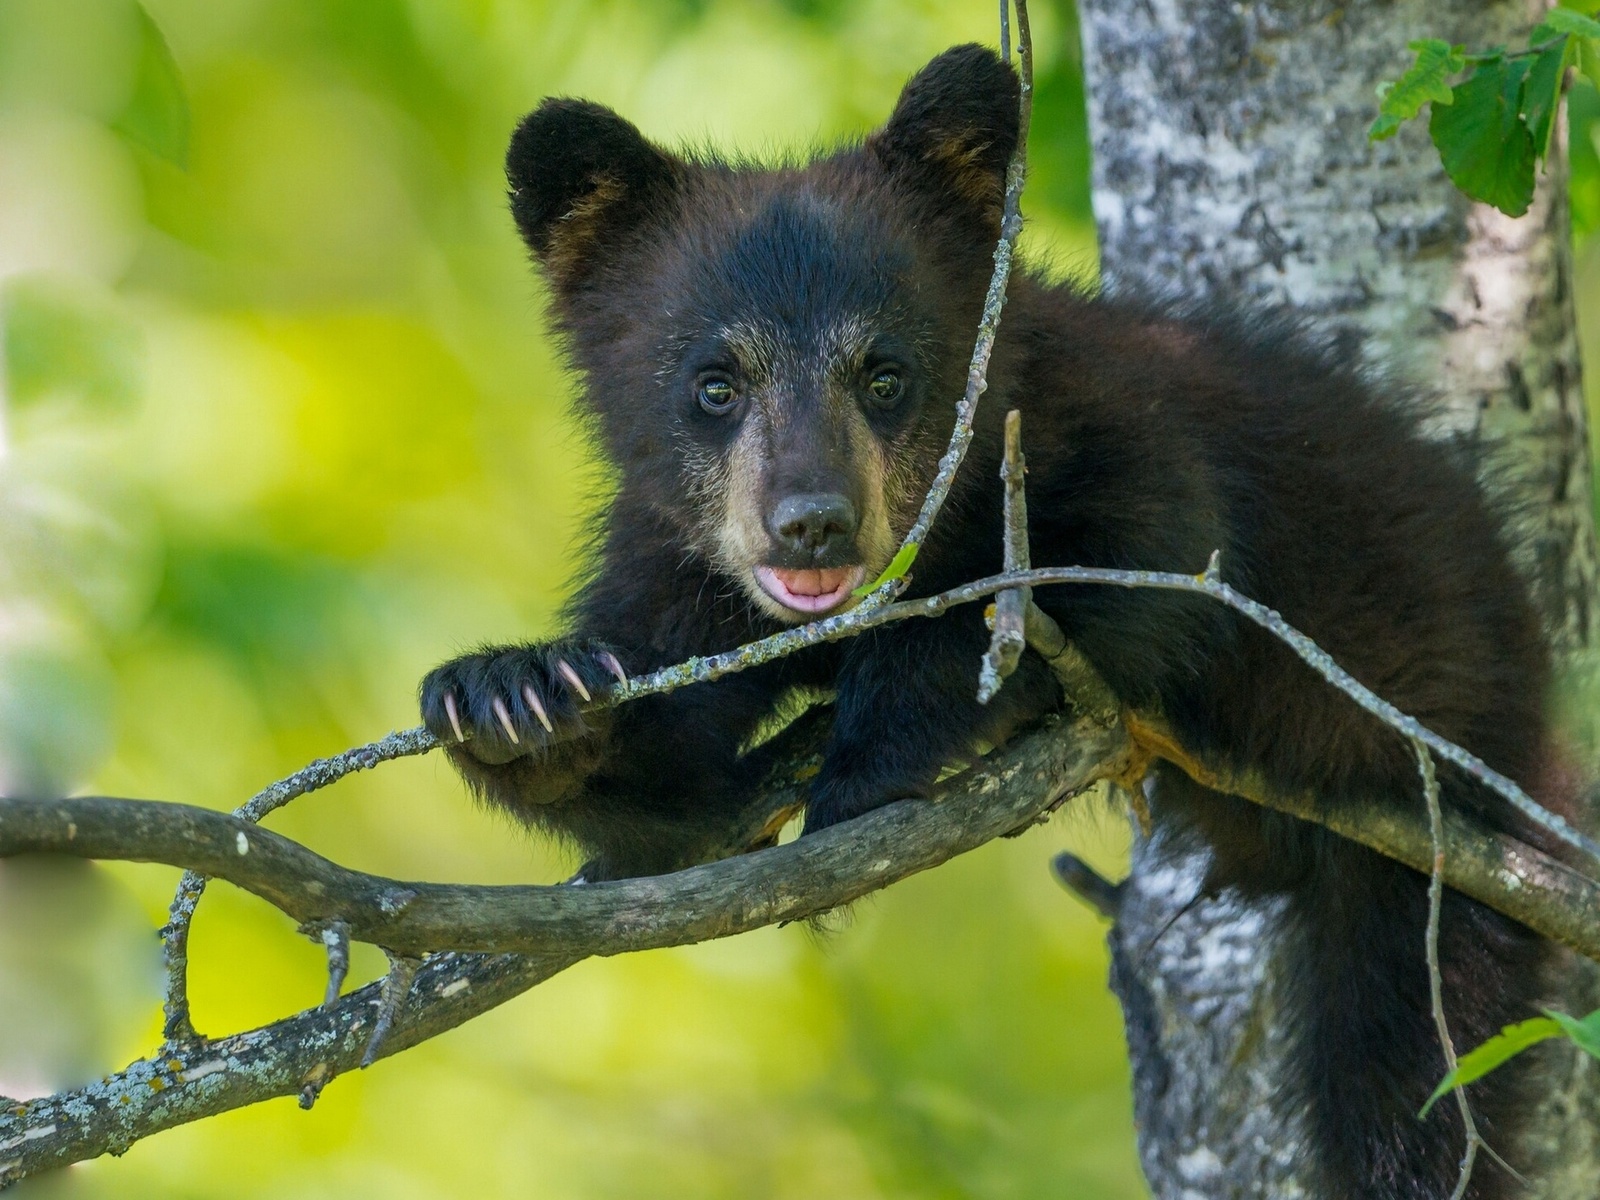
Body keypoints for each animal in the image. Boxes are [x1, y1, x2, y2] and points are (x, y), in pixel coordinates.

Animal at [419, 44, 1559, 1200]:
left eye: (884, 374)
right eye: (714, 384)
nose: (812, 524)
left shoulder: (1104, 423)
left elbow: (1139, 558)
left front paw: (862, 765)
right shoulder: (678, 561)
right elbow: (673, 783)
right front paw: (516, 697)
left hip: (1443, 814)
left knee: (1415, 1076)